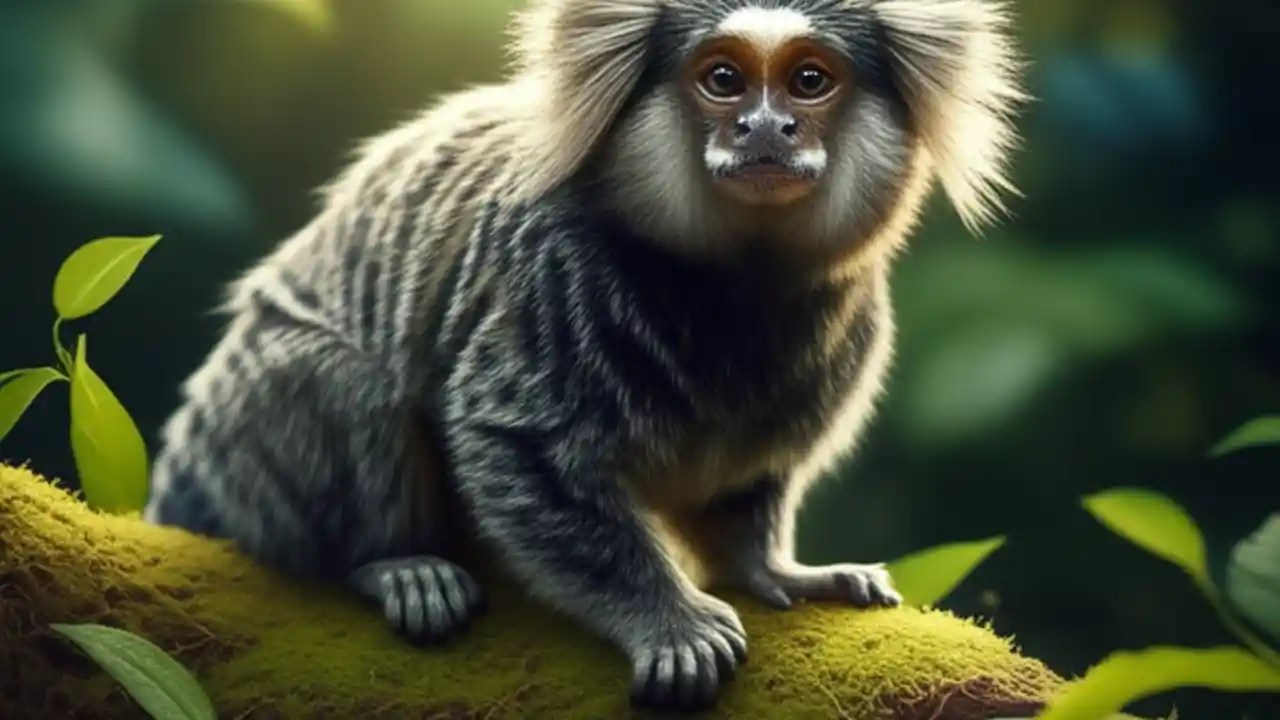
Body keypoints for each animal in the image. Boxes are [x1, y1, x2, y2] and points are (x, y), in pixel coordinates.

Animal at [143, 0, 1025, 711]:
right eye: (723, 80)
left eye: (810, 81)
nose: (765, 128)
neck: (734, 290)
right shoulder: (552, 284)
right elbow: (521, 452)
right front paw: (671, 623)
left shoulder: (840, 329)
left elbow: (746, 483)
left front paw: (775, 570)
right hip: (246, 444)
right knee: (351, 386)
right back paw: (396, 564)